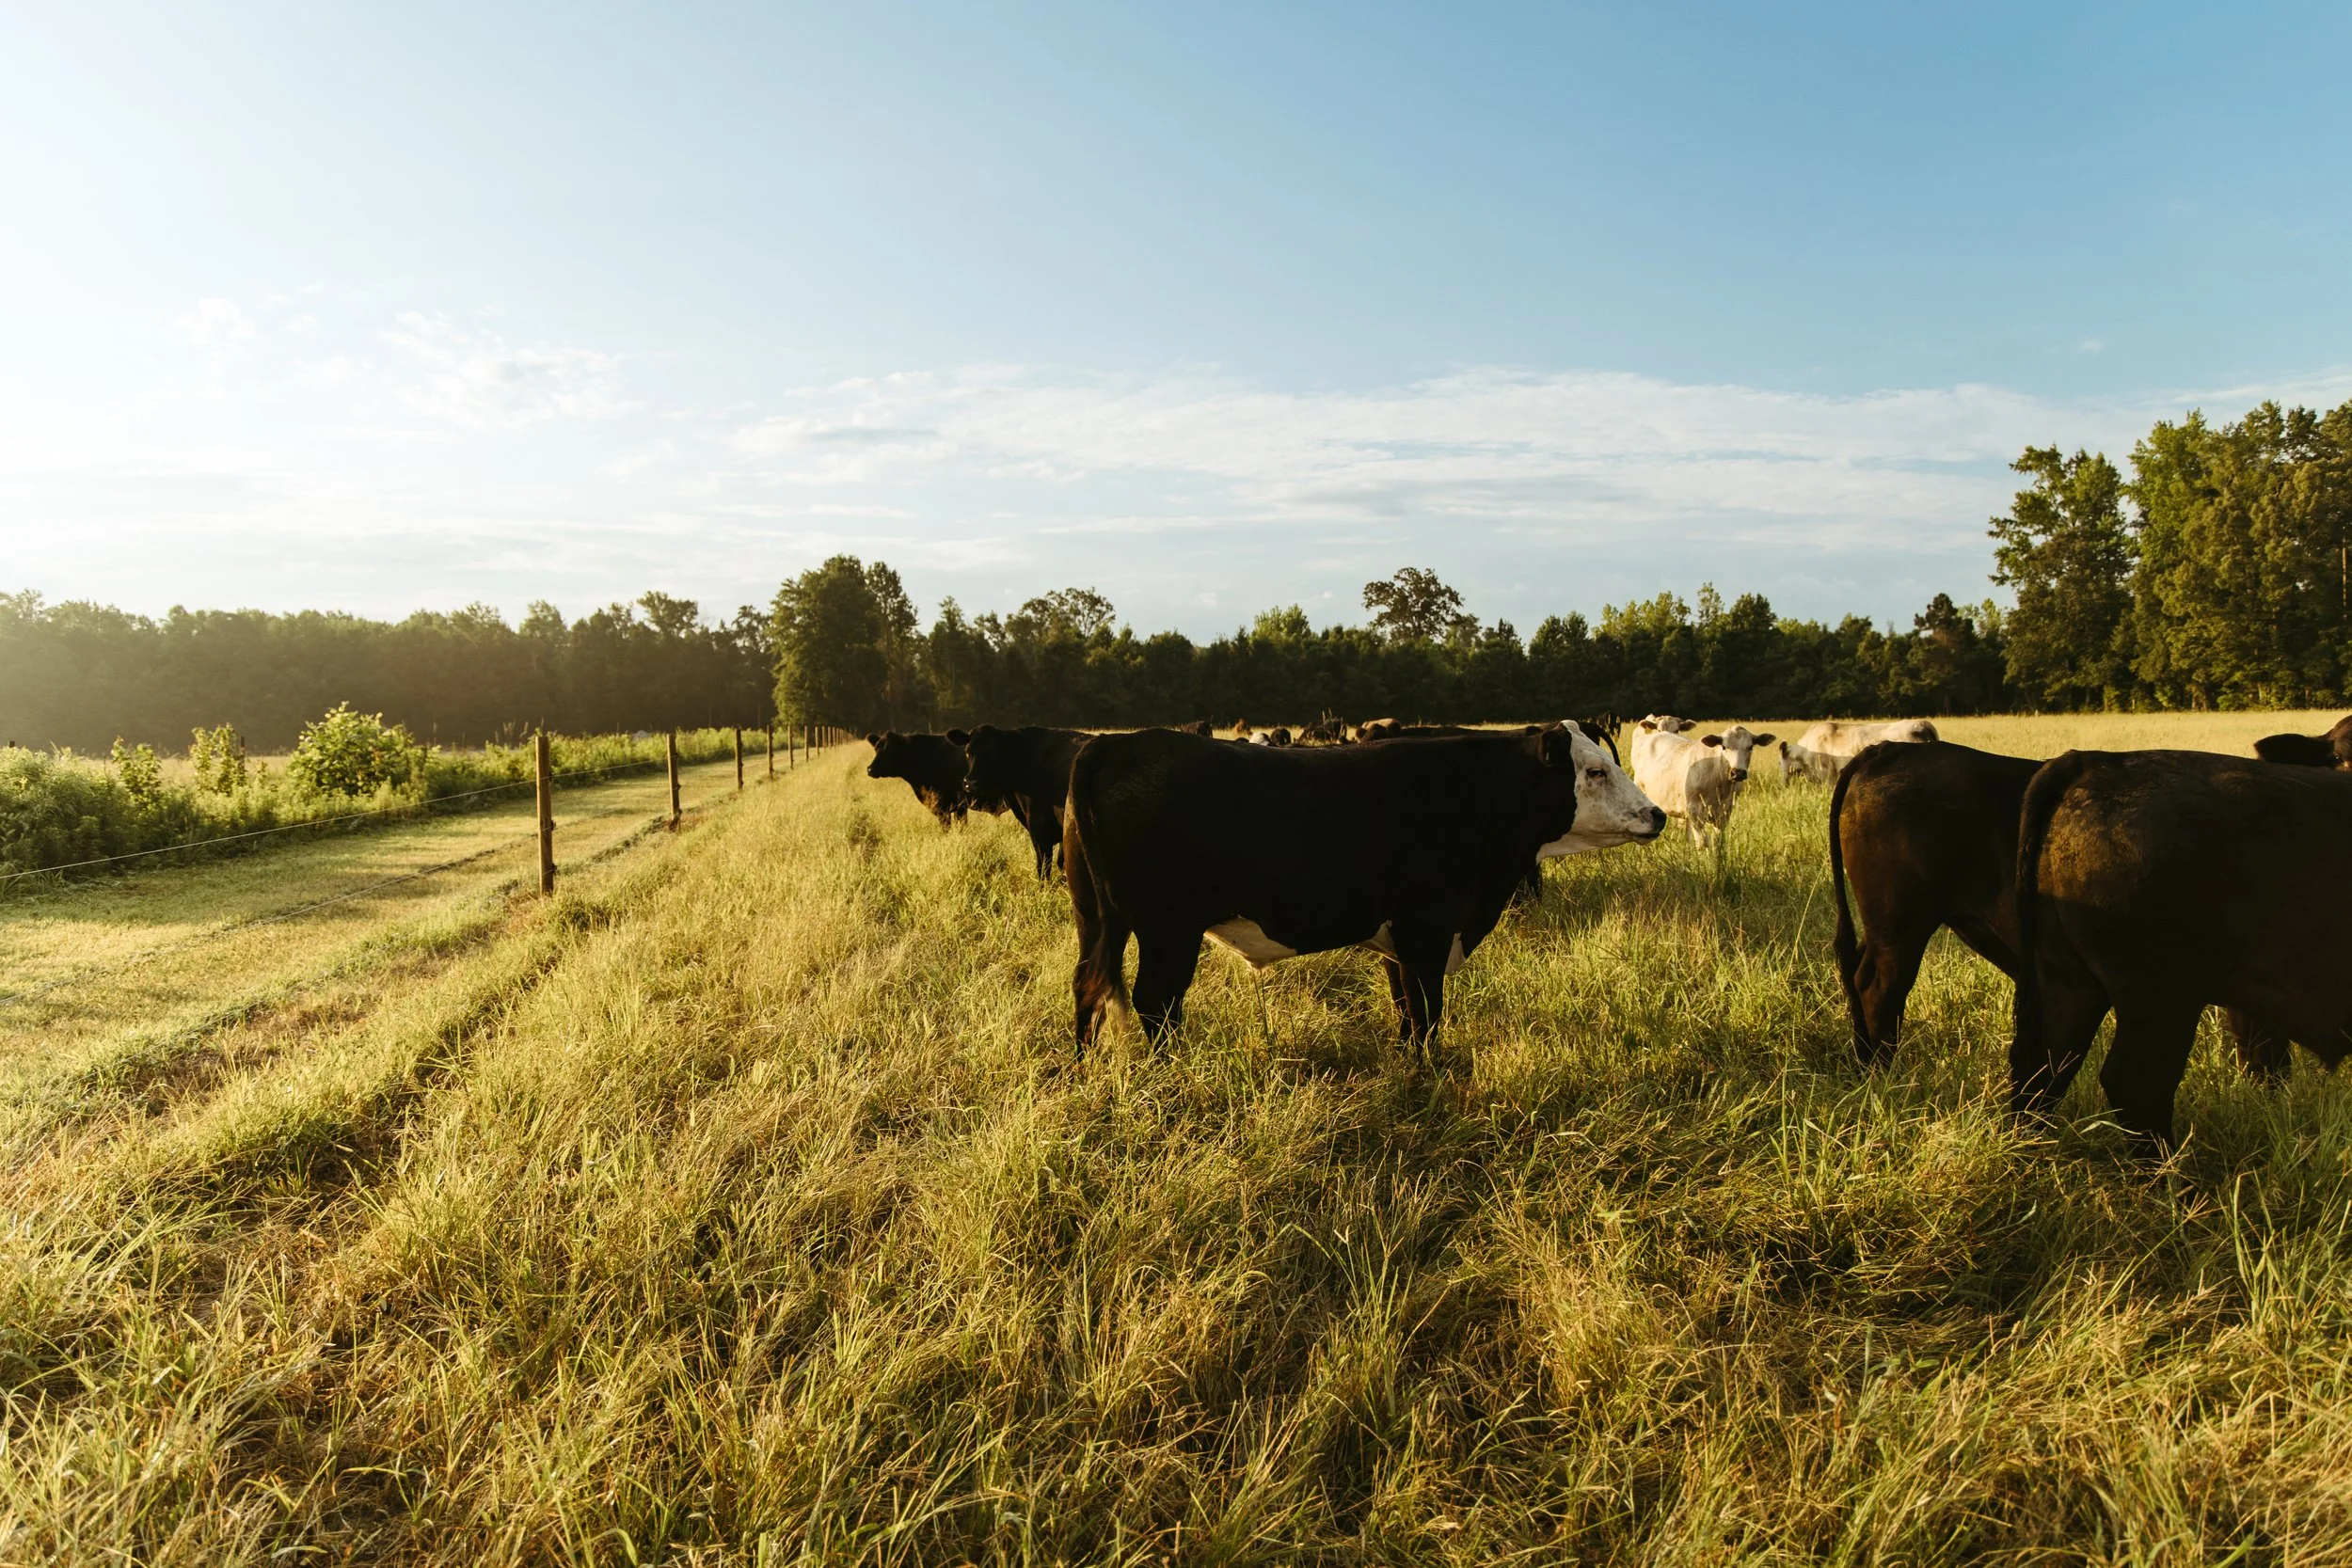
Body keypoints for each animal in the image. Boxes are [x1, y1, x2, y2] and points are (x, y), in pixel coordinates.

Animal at [962, 724, 1089, 880]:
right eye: (967, 752)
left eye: (993, 754)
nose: (970, 783)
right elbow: (1061, 862)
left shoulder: (1039, 826)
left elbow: (1044, 866)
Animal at [1064, 722, 1665, 1055]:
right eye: (1594, 771)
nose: (1657, 814)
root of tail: (1110, 747)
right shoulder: (1426, 932)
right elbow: (1425, 1014)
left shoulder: (1400, 942)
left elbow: (1405, 1012)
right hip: (1168, 931)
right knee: (1156, 1003)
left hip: (1095, 919)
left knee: (1086, 989)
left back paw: (1084, 1069)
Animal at [1629, 717, 1775, 848]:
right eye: (1724, 747)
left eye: (1750, 747)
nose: (1738, 772)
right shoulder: (1695, 812)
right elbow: (1702, 843)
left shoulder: (1724, 813)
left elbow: (1717, 843)